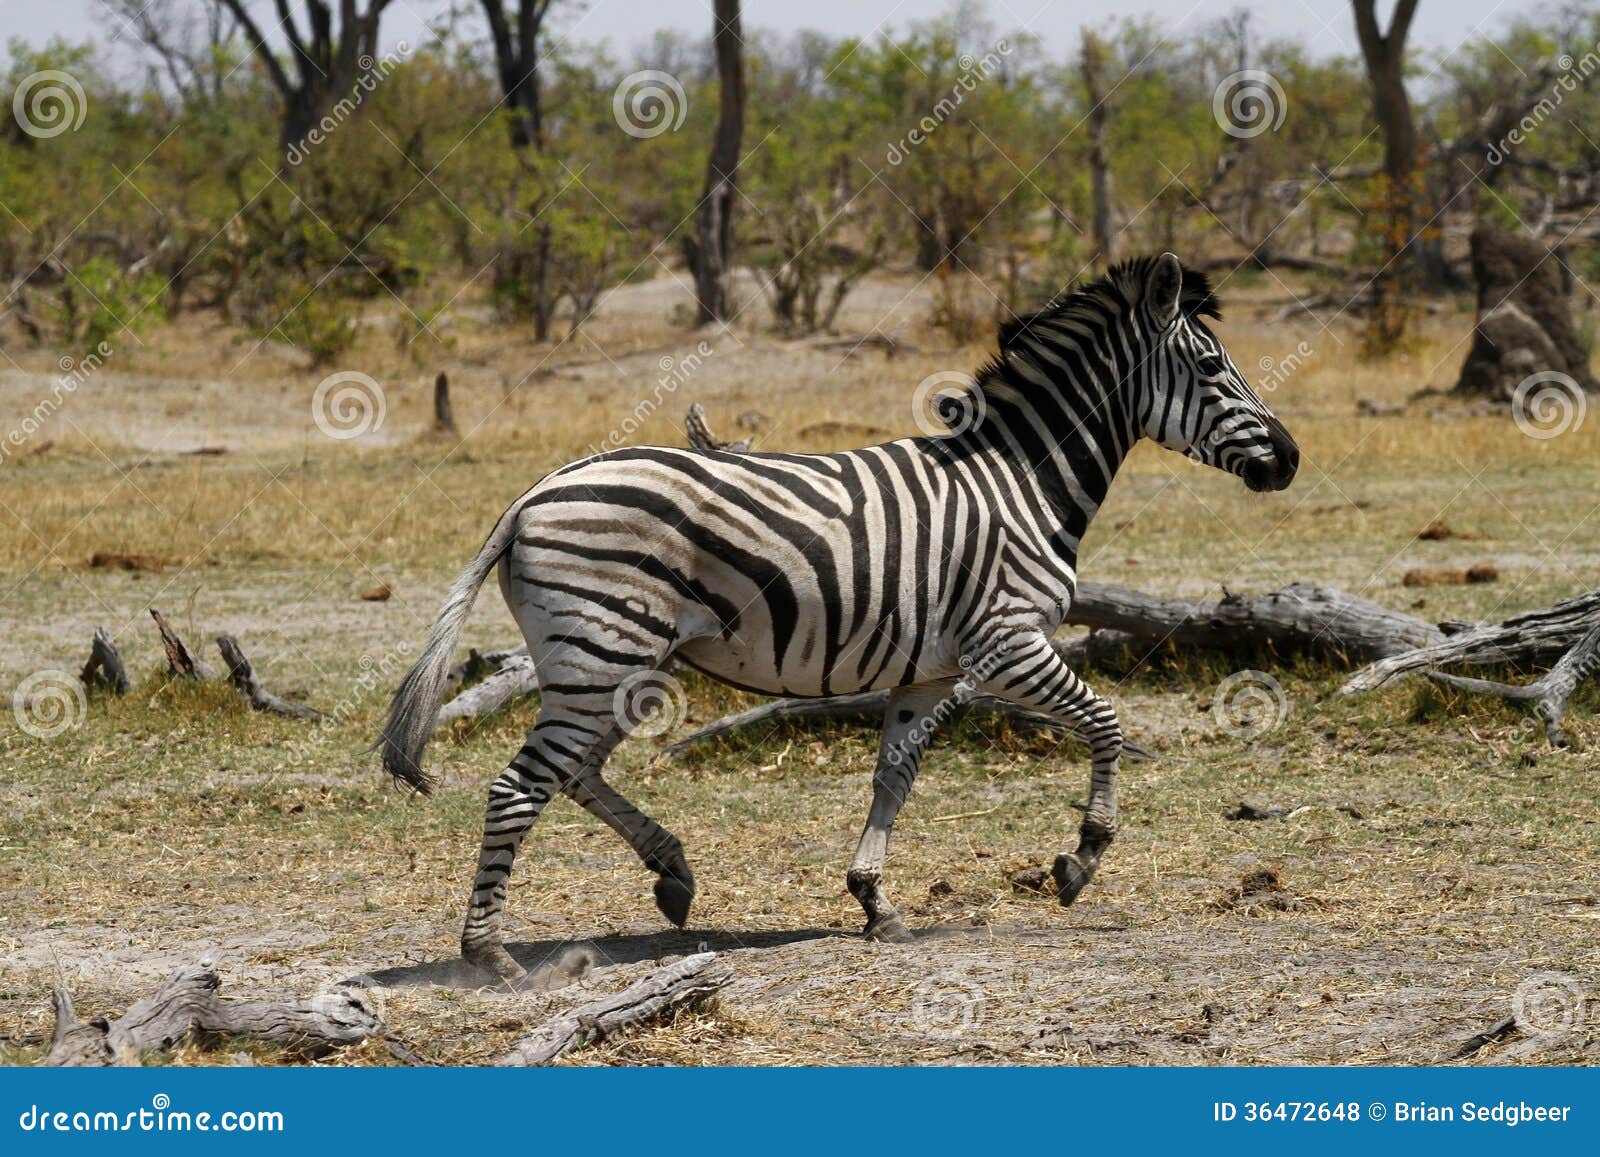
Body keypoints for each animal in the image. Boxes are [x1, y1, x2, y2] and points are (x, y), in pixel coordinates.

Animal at [379, 252, 1299, 984]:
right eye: (1212, 366)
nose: (1289, 460)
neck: (1019, 480)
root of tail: (533, 493)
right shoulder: (1007, 643)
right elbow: (1107, 722)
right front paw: (1081, 857)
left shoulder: (930, 670)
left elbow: (894, 775)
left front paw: (874, 900)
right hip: (601, 651)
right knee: (519, 787)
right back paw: (490, 955)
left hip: (614, 662)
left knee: (574, 774)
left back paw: (672, 873)